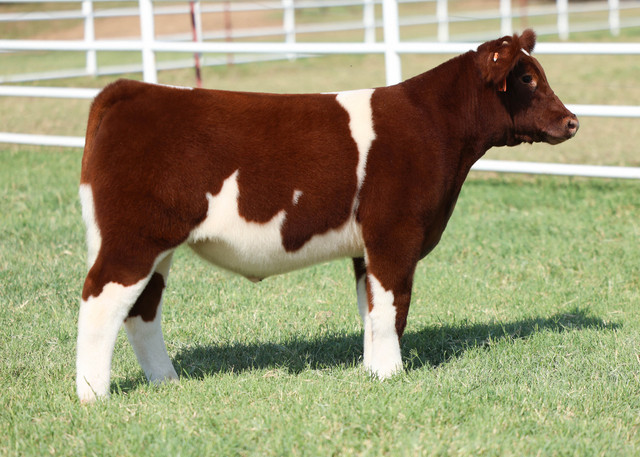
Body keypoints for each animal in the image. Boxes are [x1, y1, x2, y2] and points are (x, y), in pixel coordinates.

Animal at [77, 29, 578, 402]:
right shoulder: (395, 233)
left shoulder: (366, 247)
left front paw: (373, 372)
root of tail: (130, 90)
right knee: (100, 301)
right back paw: (92, 396)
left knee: (141, 311)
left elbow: (371, 310)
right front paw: (392, 375)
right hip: (133, 238)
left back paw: (166, 382)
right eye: (526, 79)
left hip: (155, 245)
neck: (435, 127)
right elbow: (392, 307)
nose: (572, 120)